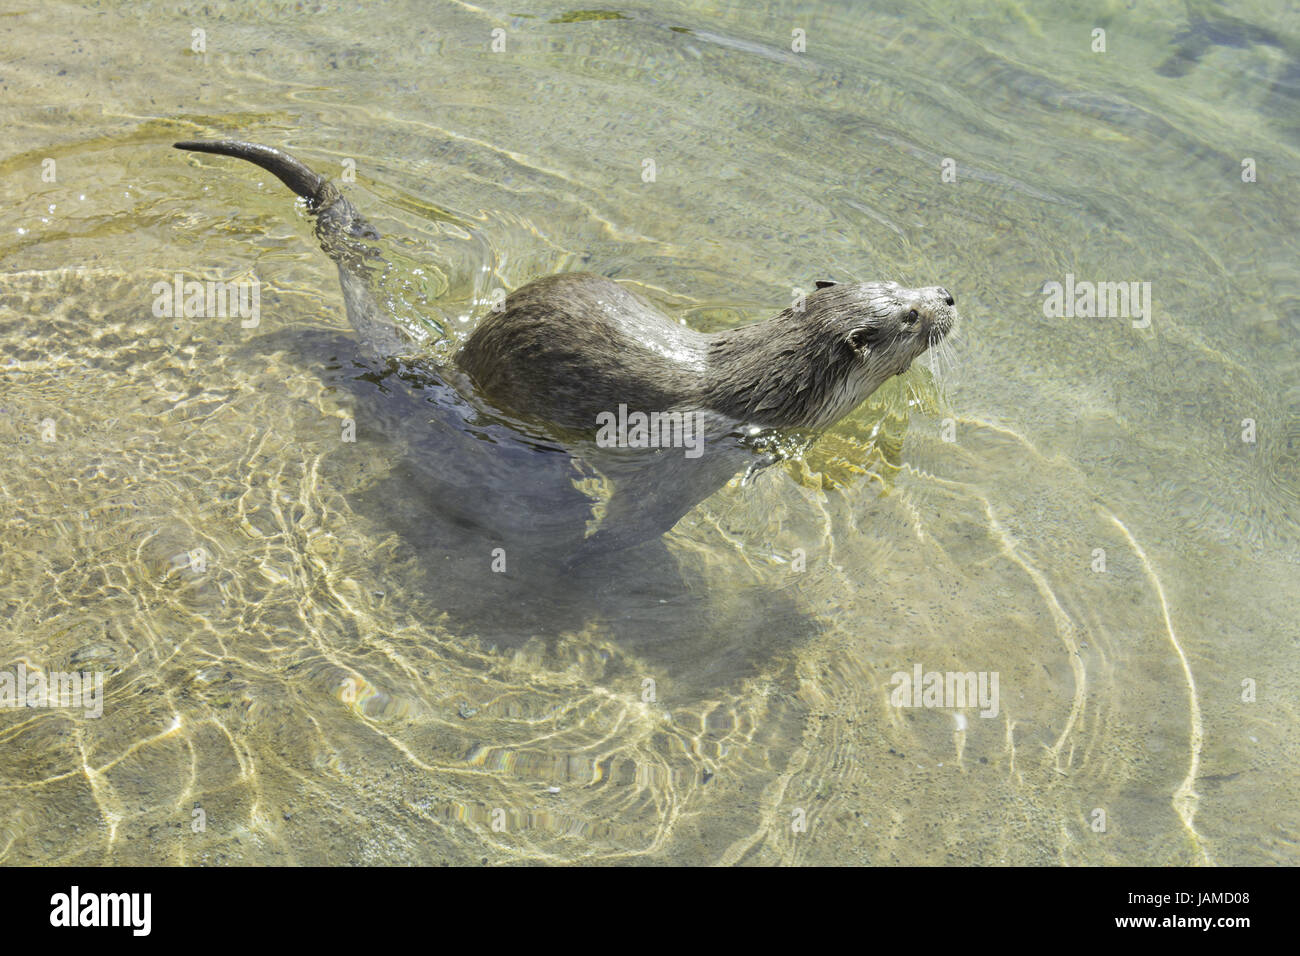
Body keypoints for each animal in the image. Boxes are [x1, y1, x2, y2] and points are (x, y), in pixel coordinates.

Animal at [173, 140, 958, 551]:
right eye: (910, 313)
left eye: (903, 280)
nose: (949, 297)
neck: (764, 381)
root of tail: (460, 357)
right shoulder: (699, 461)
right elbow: (631, 528)